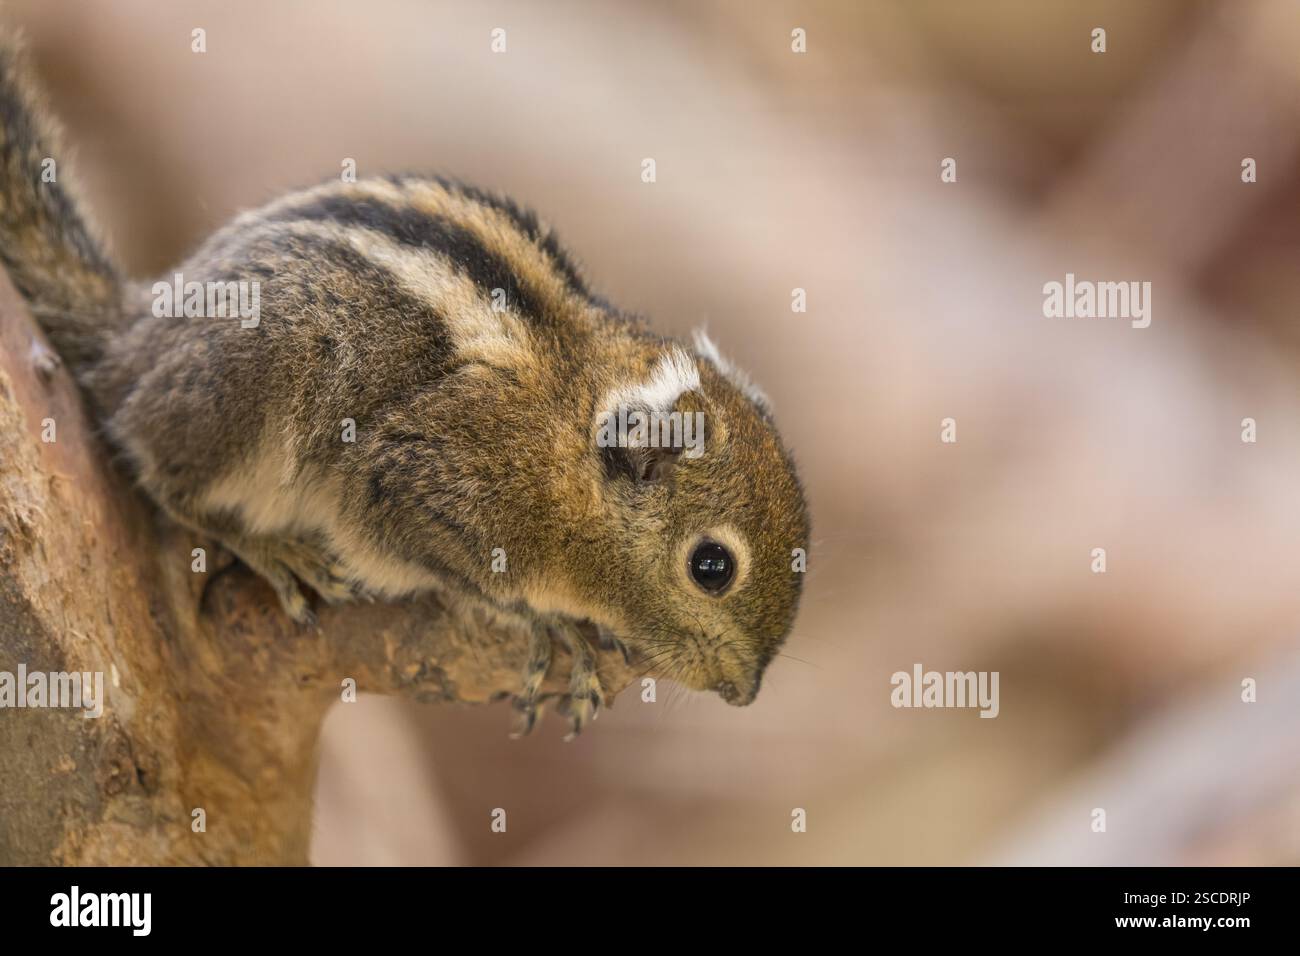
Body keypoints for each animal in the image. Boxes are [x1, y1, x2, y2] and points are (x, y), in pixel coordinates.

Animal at [0, 35, 809, 738]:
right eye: (712, 568)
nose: (746, 692)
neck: (567, 441)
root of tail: (134, 337)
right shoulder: (414, 479)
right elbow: (470, 580)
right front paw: (550, 623)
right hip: (266, 365)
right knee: (165, 475)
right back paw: (263, 542)